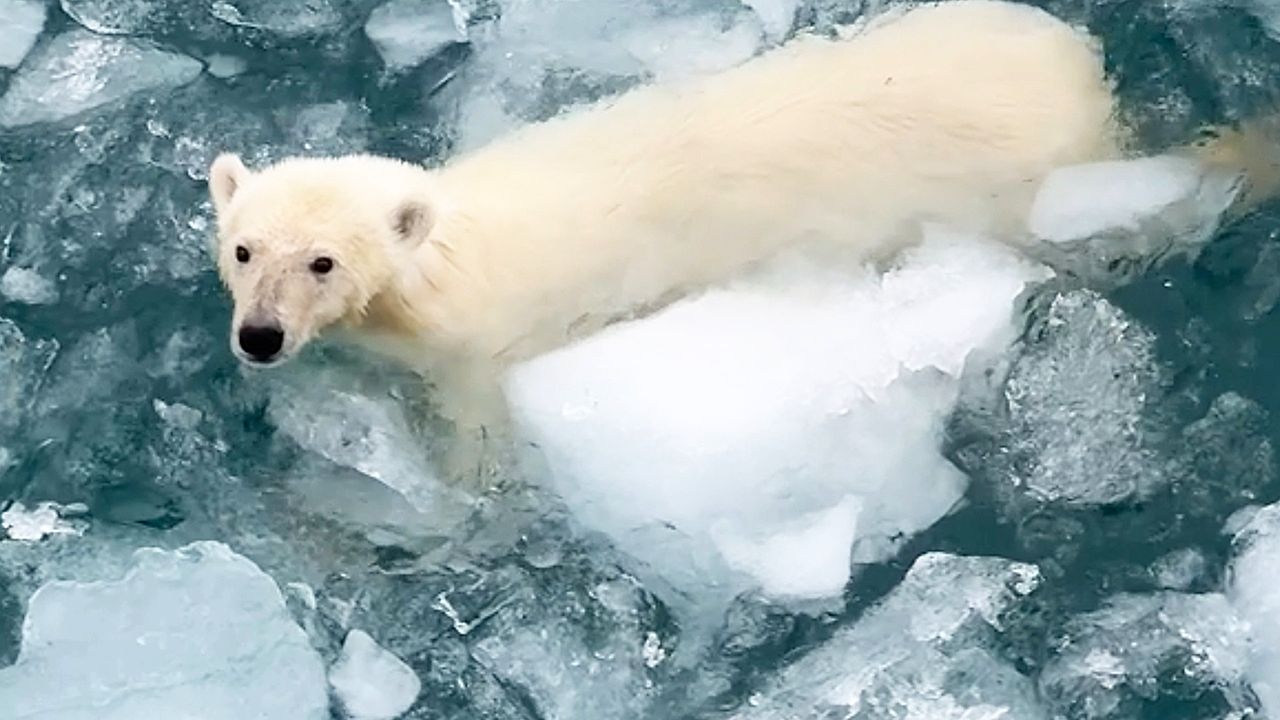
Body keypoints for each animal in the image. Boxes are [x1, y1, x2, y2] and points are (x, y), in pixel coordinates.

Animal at [207, 0, 1278, 483]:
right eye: (244, 250)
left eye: (323, 260)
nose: (259, 337)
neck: (445, 265)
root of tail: (1080, 67)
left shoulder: (480, 348)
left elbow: (476, 447)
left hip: (1021, 181)